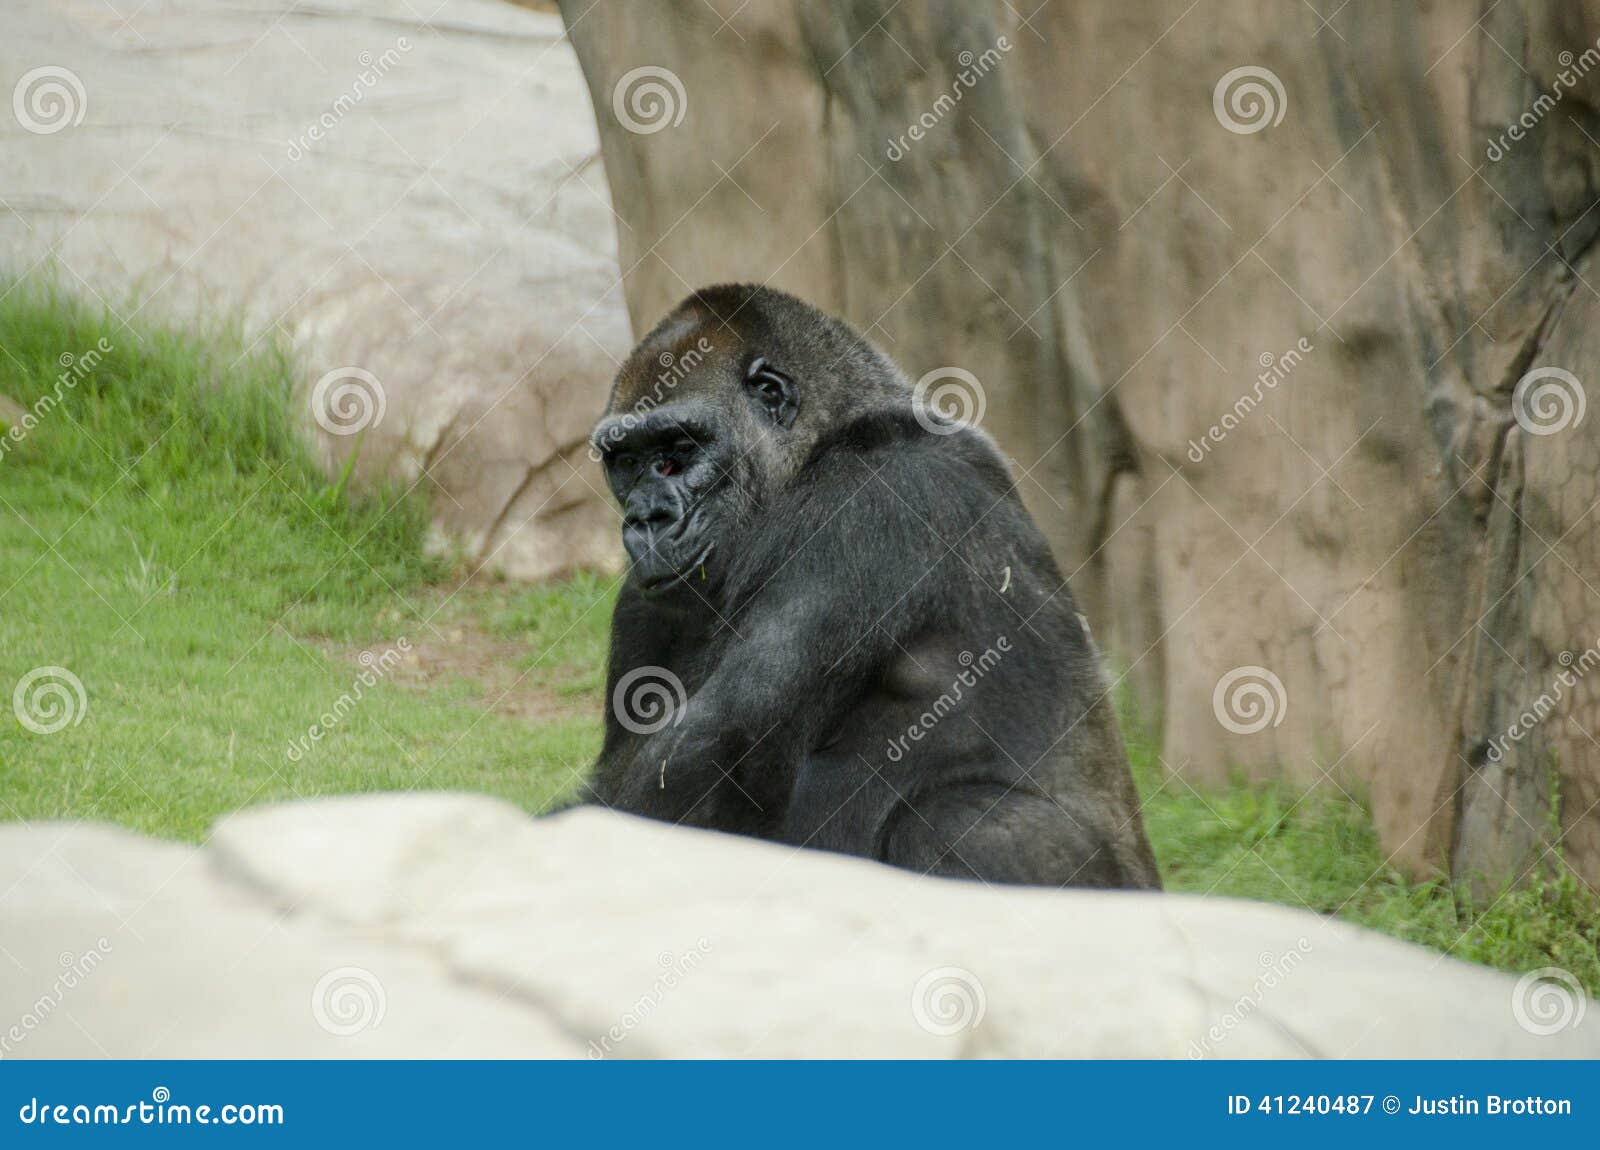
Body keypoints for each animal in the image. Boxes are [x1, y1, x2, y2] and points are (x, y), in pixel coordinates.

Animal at [583, 283, 1161, 890]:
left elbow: (709, 749)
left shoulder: (876, 501)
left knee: (961, 826)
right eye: (626, 461)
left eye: (677, 454)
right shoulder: (644, 597)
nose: (646, 519)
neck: (834, 436)